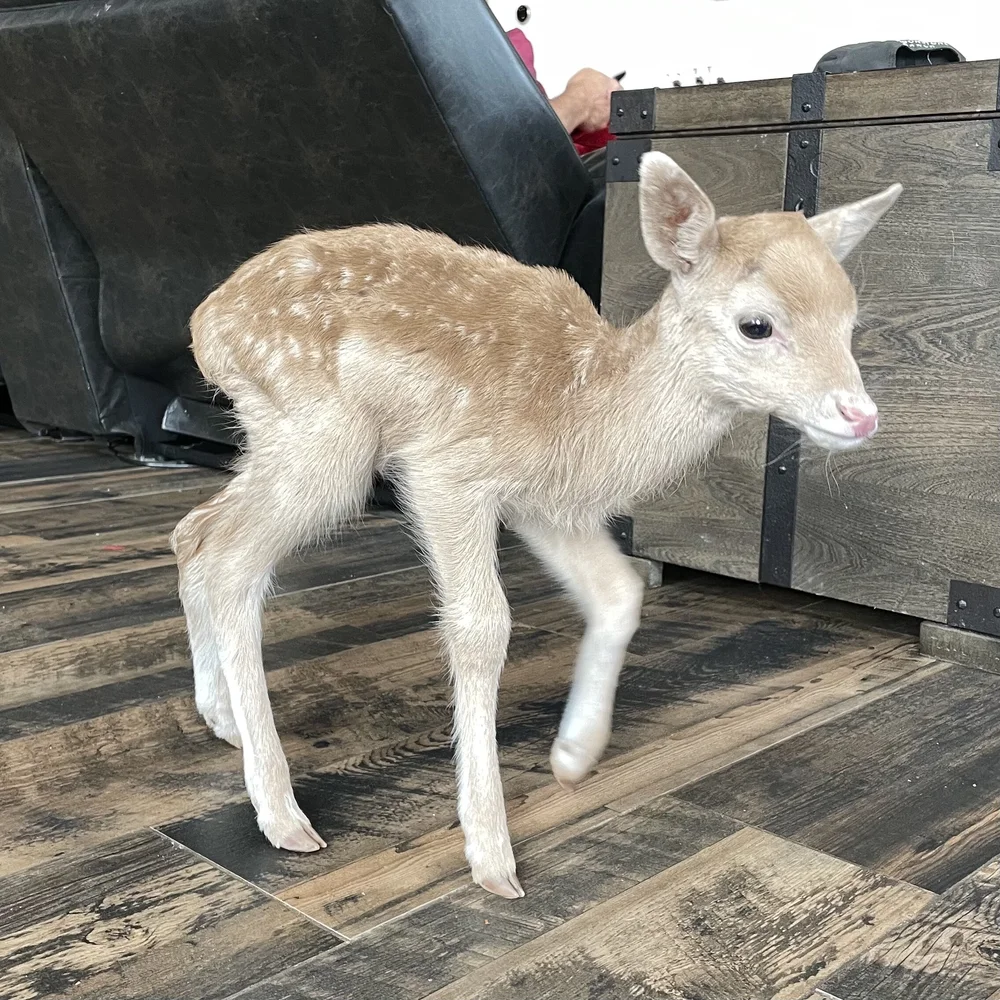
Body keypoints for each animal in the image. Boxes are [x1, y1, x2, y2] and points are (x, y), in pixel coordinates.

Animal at [171, 152, 901, 899]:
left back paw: (222, 720)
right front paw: (492, 857)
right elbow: (482, 626)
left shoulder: (545, 503)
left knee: (193, 533)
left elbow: (620, 592)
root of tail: (204, 325)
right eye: (757, 325)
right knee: (229, 558)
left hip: (281, 437)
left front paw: (573, 756)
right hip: (324, 437)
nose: (860, 416)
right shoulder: (446, 471)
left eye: (850, 320)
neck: (581, 414)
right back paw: (283, 815)